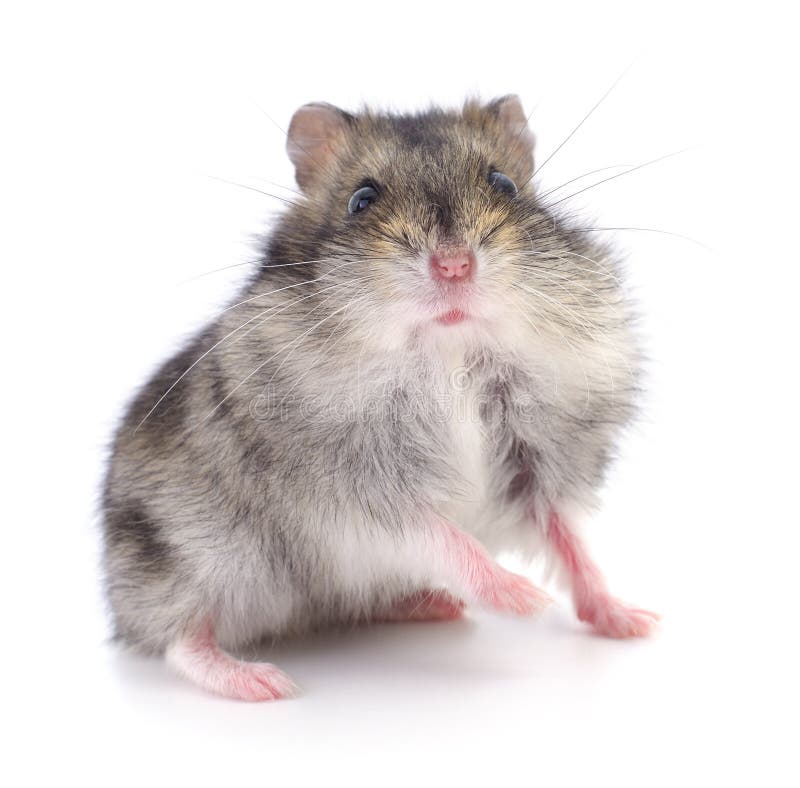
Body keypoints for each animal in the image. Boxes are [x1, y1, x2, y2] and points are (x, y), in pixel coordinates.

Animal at [102, 95, 658, 702]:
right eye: (361, 199)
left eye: (504, 182)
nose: (454, 265)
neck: (449, 350)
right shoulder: (353, 494)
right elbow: (444, 537)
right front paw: (527, 600)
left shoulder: (536, 463)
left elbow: (570, 541)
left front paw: (636, 622)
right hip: (195, 558)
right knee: (180, 637)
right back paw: (263, 682)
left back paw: (436, 604)